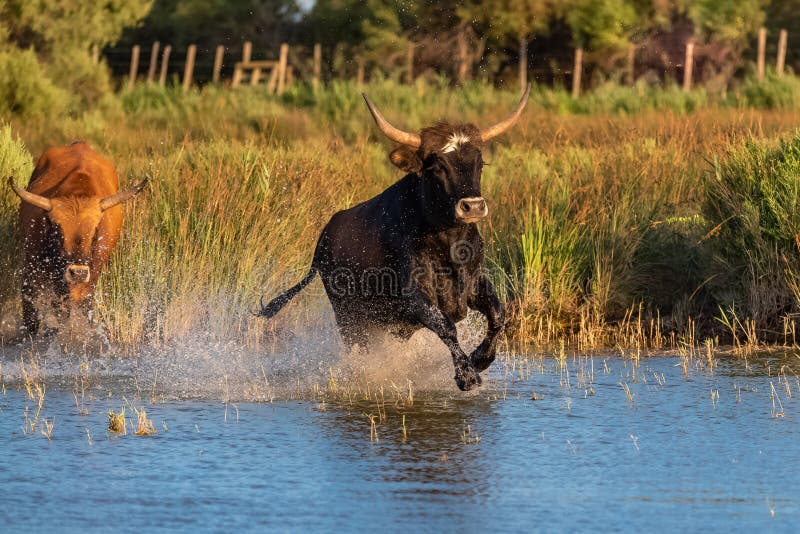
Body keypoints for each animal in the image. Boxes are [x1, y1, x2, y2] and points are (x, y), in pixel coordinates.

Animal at [10, 142, 147, 336]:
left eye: (95, 231)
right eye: (57, 229)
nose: (78, 272)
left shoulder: (89, 277)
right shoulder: (32, 269)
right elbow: (33, 310)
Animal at [259, 86, 530, 390]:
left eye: (479, 163)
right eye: (438, 166)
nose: (472, 206)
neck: (448, 243)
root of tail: (324, 236)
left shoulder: (474, 282)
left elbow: (498, 314)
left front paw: (480, 359)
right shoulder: (415, 296)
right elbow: (446, 327)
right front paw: (466, 374)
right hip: (350, 318)